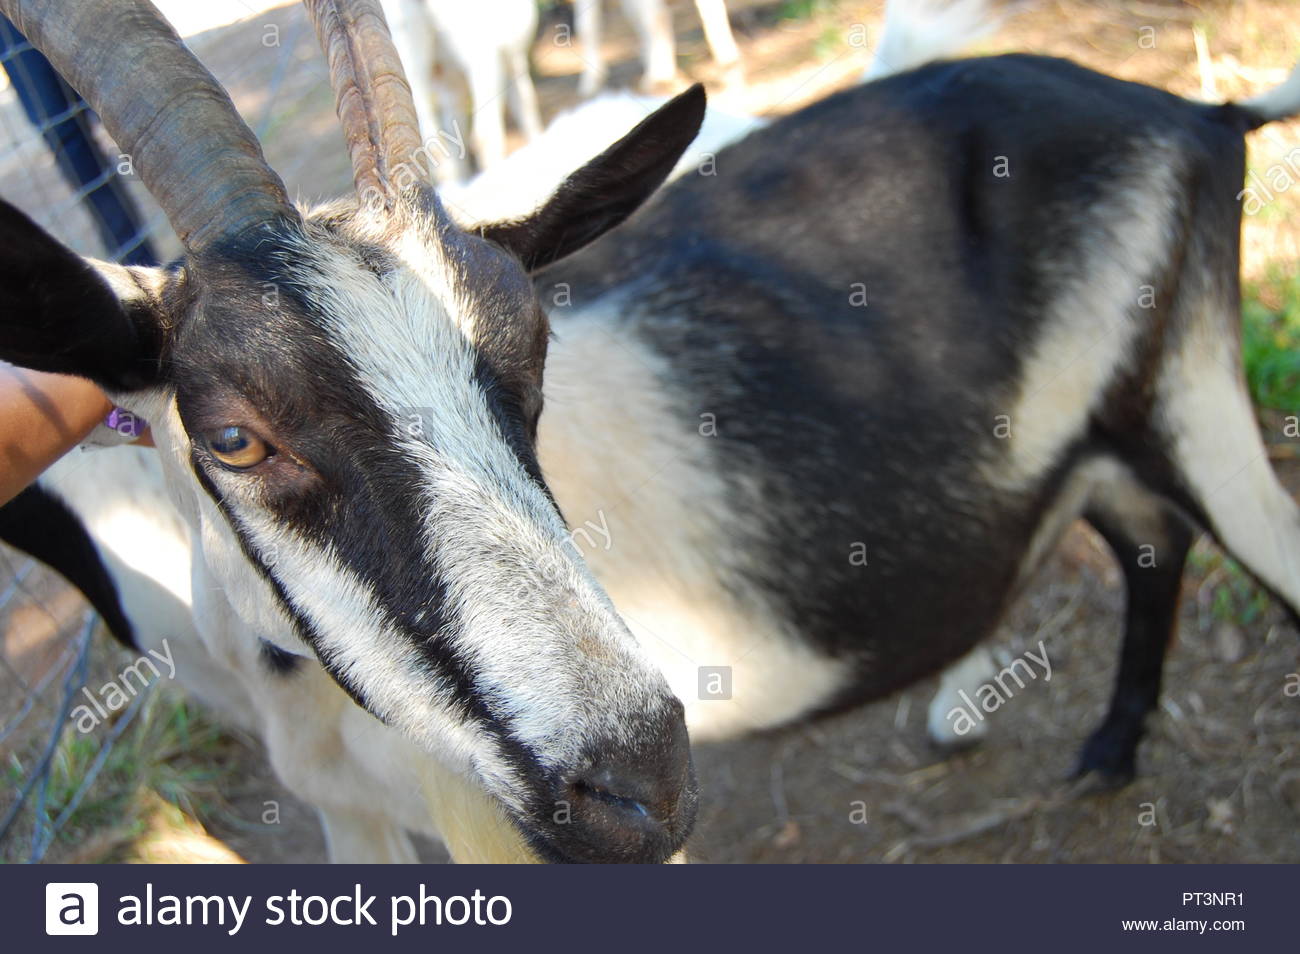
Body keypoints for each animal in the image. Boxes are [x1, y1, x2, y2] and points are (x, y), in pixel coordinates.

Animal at [4, 0, 1300, 864]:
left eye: (533, 345)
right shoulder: (352, 816)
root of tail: (1194, 111)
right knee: (1146, 540)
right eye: (230, 436)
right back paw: (1103, 752)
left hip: (1192, 388)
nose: (638, 787)